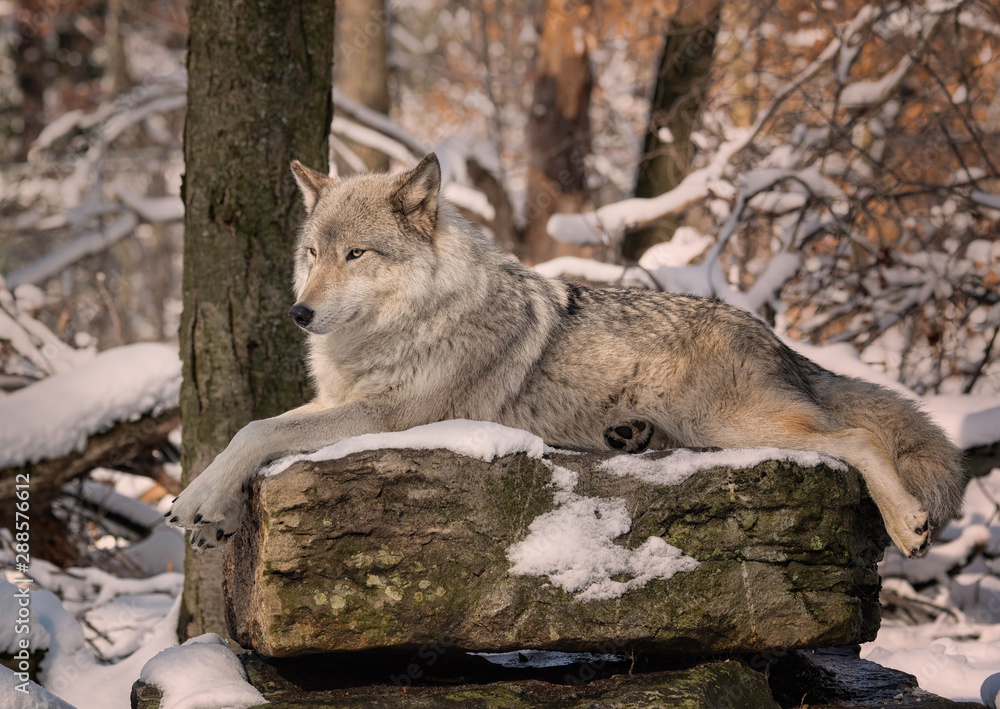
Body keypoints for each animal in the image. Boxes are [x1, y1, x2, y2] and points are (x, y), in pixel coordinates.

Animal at [168, 153, 967, 558]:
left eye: (355, 255)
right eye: (311, 254)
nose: (299, 312)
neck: (405, 324)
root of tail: (778, 338)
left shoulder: (391, 416)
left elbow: (261, 428)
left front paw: (198, 499)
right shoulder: (338, 401)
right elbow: (258, 428)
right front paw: (212, 509)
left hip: (728, 422)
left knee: (854, 437)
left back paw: (907, 523)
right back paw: (631, 436)